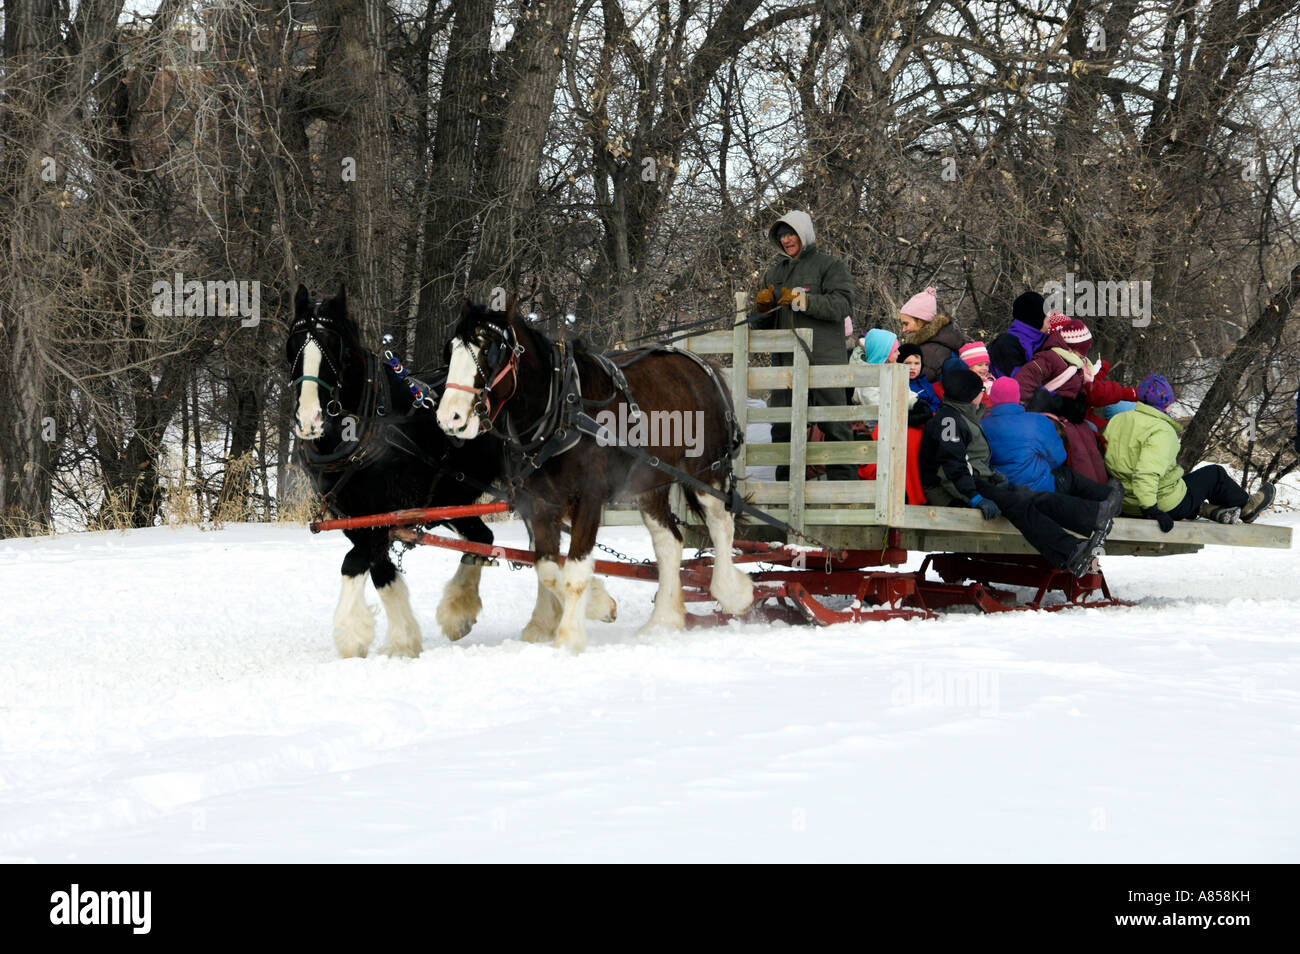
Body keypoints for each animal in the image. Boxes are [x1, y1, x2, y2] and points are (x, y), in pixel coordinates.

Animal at [286, 283, 510, 657]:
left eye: (334, 345)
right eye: (293, 344)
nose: (308, 419)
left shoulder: (381, 519)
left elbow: (356, 562)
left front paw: (355, 636)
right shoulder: (356, 519)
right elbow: (381, 572)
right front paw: (400, 639)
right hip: (451, 500)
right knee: (482, 538)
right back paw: (460, 613)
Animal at [436, 301, 754, 652]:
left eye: (489, 351)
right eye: (451, 350)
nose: (449, 417)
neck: (561, 413)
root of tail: (701, 364)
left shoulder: (588, 499)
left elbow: (575, 571)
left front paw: (569, 637)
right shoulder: (539, 505)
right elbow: (548, 569)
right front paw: (596, 607)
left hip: (706, 471)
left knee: (721, 524)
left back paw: (733, 593)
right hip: (649, 483)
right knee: (669, 543)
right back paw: (663, 621)